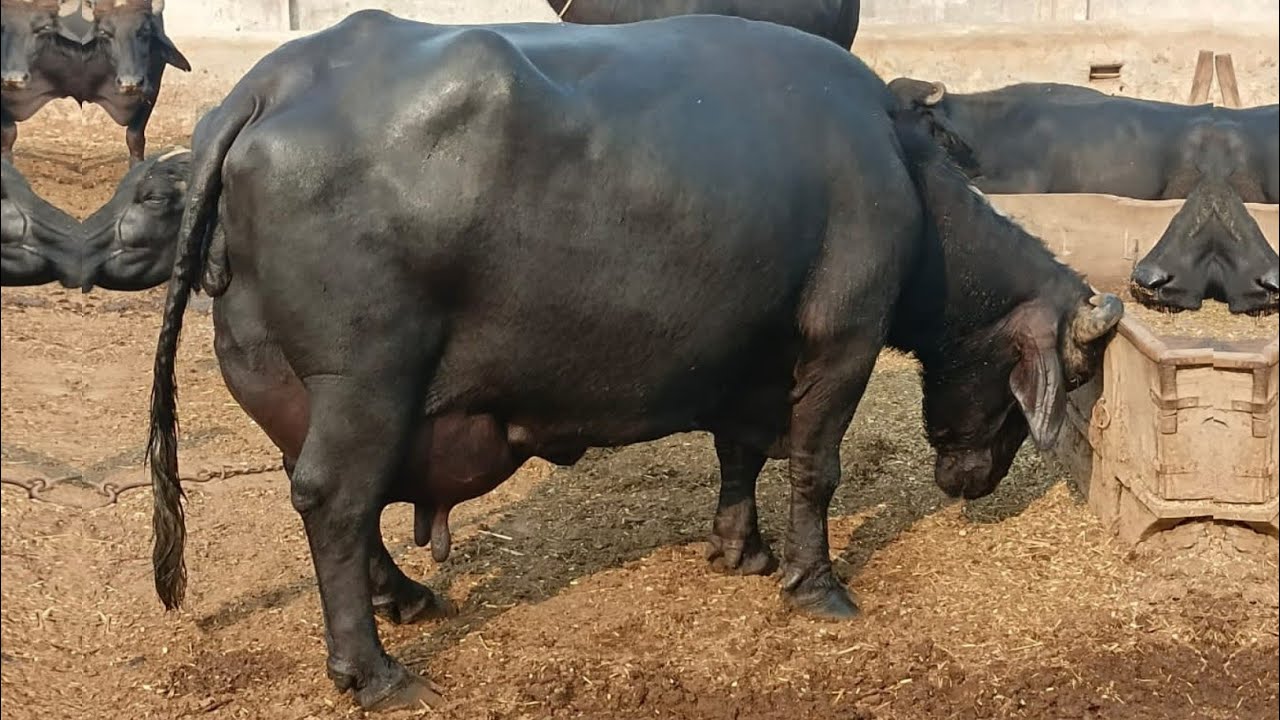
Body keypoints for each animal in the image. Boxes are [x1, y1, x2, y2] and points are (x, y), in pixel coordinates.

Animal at [1, 0, 190, 164]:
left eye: (145, 31)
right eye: (105, 33)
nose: (129, 83)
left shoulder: (151, 90)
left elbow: (135, 137)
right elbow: (8, 134)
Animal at [114, 12, 1121, 712]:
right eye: (1064, 382)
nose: (972, 481)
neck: (904, 182)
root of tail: (268, 86)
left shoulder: (744, 354)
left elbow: (739, 452)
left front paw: (741, 549)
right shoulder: (842, 340)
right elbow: (815, 467)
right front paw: (816, 583)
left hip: (283, 383)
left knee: (326, 498)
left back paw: (405, 599)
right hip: (366, 382)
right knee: (334, 500)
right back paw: (376, 672)